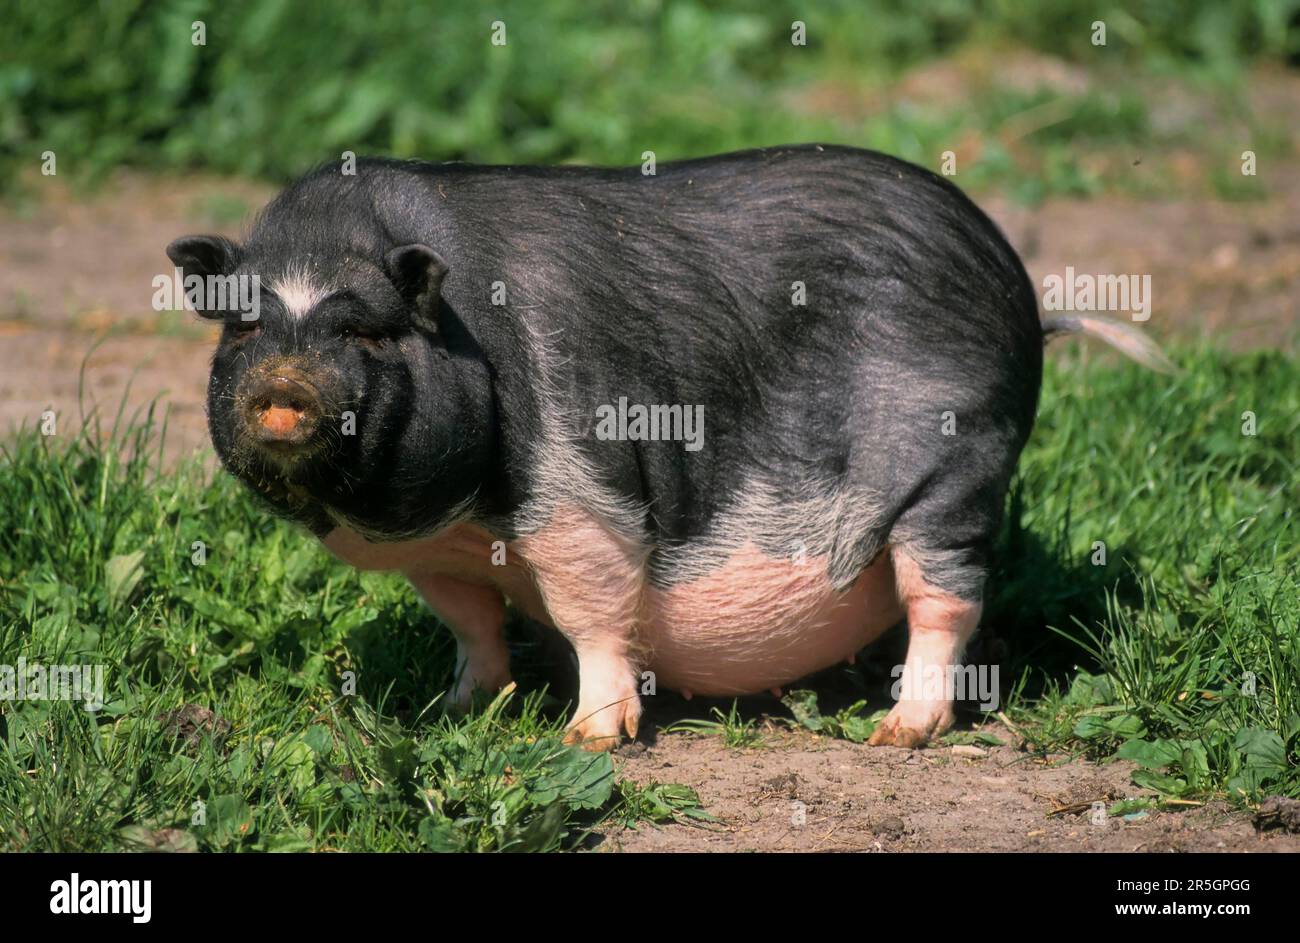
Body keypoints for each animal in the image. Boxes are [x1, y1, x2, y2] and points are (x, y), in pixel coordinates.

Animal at [167, 144, 1169, 751]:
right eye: (244, 327)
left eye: (367, 332)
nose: (284, 387)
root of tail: (1023, 297)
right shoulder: (438, 552)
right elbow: (471, 623)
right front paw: (458, 710)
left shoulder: (583, 491)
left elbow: (593, 613)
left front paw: (584, 739)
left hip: (955, 467)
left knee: (947, 596)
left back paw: (900, 730)